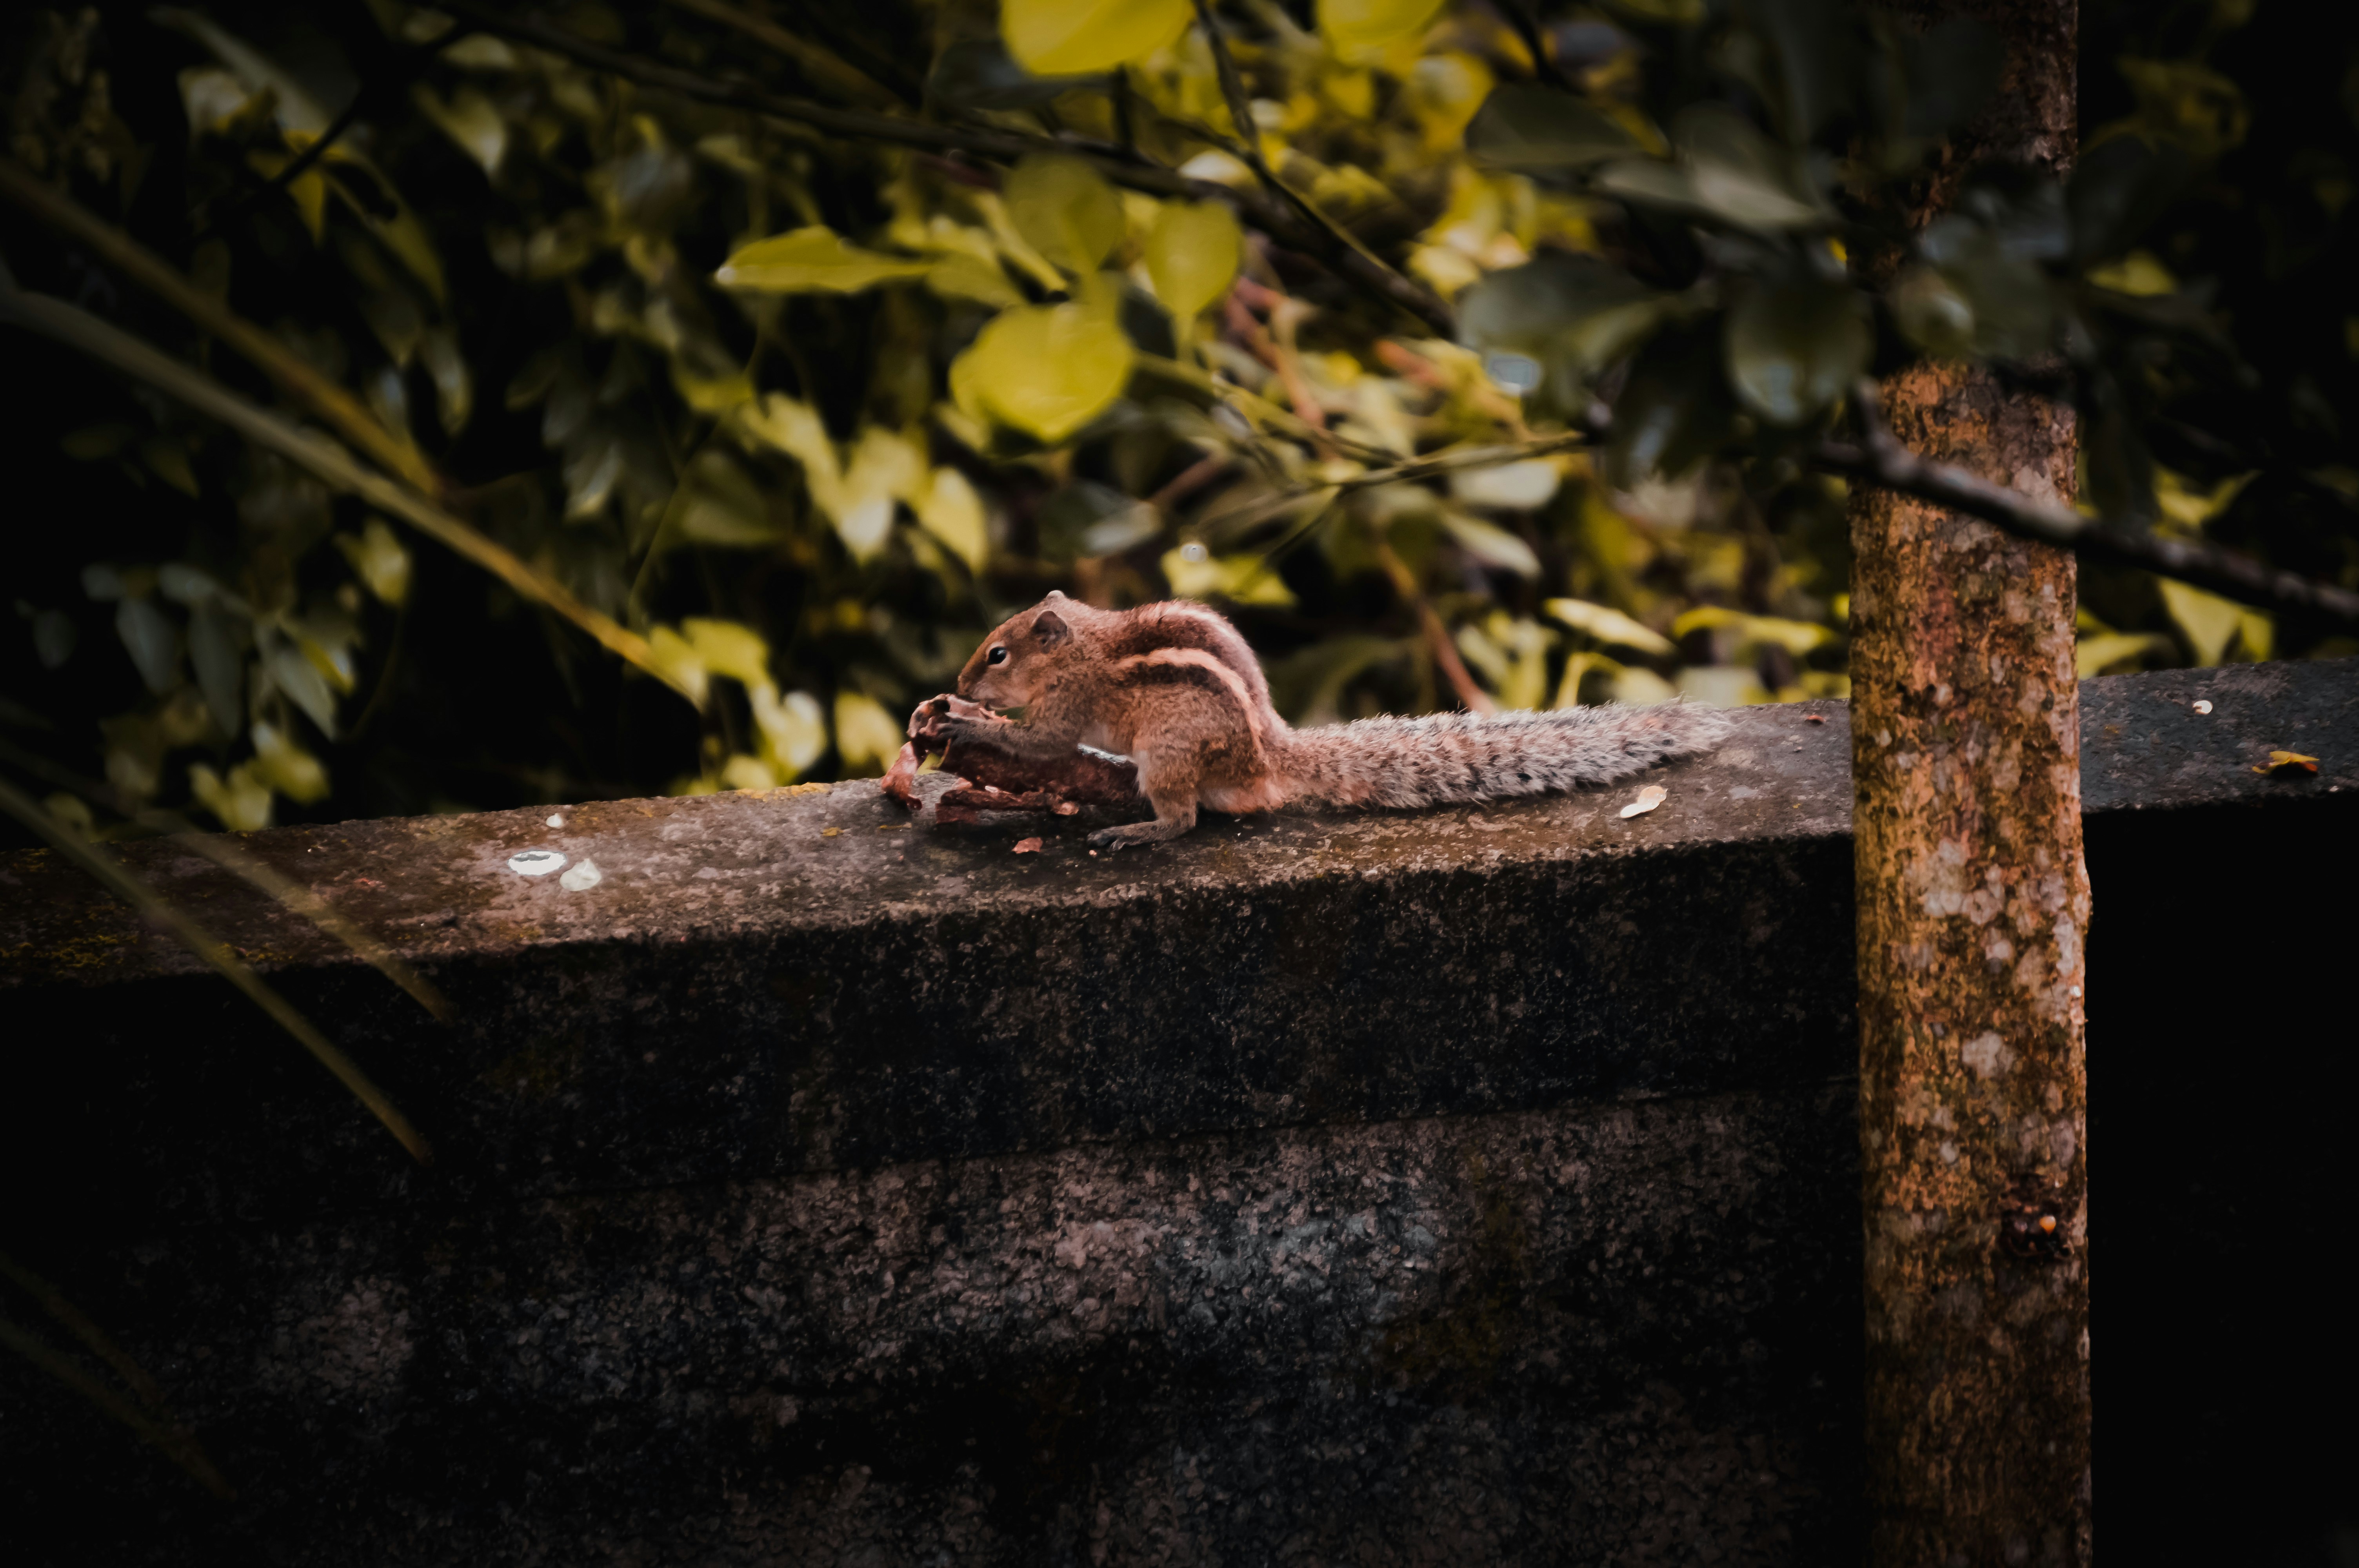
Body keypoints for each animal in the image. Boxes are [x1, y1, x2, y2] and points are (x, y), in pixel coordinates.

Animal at [917, 591, 1731, 850]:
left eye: (996, 654)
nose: (958, 682)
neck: (1083, 644)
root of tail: (1269, 757)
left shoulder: (1067, 706)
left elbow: (1041, 740)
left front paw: (967, 723)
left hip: (1170, 753)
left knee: (1185, 819)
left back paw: (1138, 829)